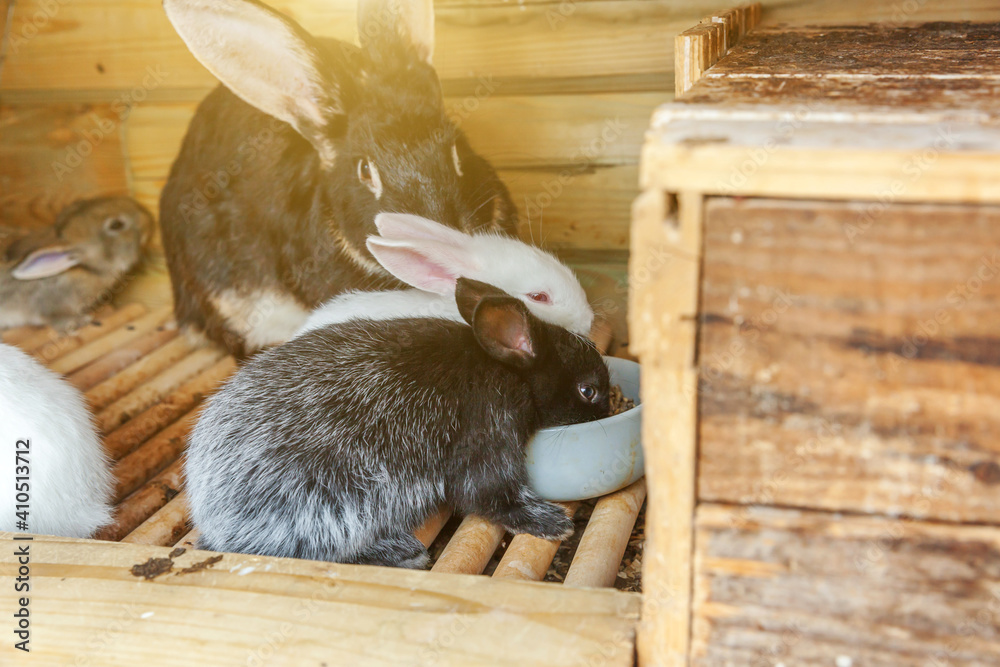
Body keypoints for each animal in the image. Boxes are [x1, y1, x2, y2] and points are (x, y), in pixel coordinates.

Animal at [185, 277, 611, 567]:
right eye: (588, 390)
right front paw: (550, 523)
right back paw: (403, 552)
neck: (507, 371)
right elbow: (491, 493)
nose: (607, 411)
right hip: (333, 506)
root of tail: (208, 509)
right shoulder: (489, 432)